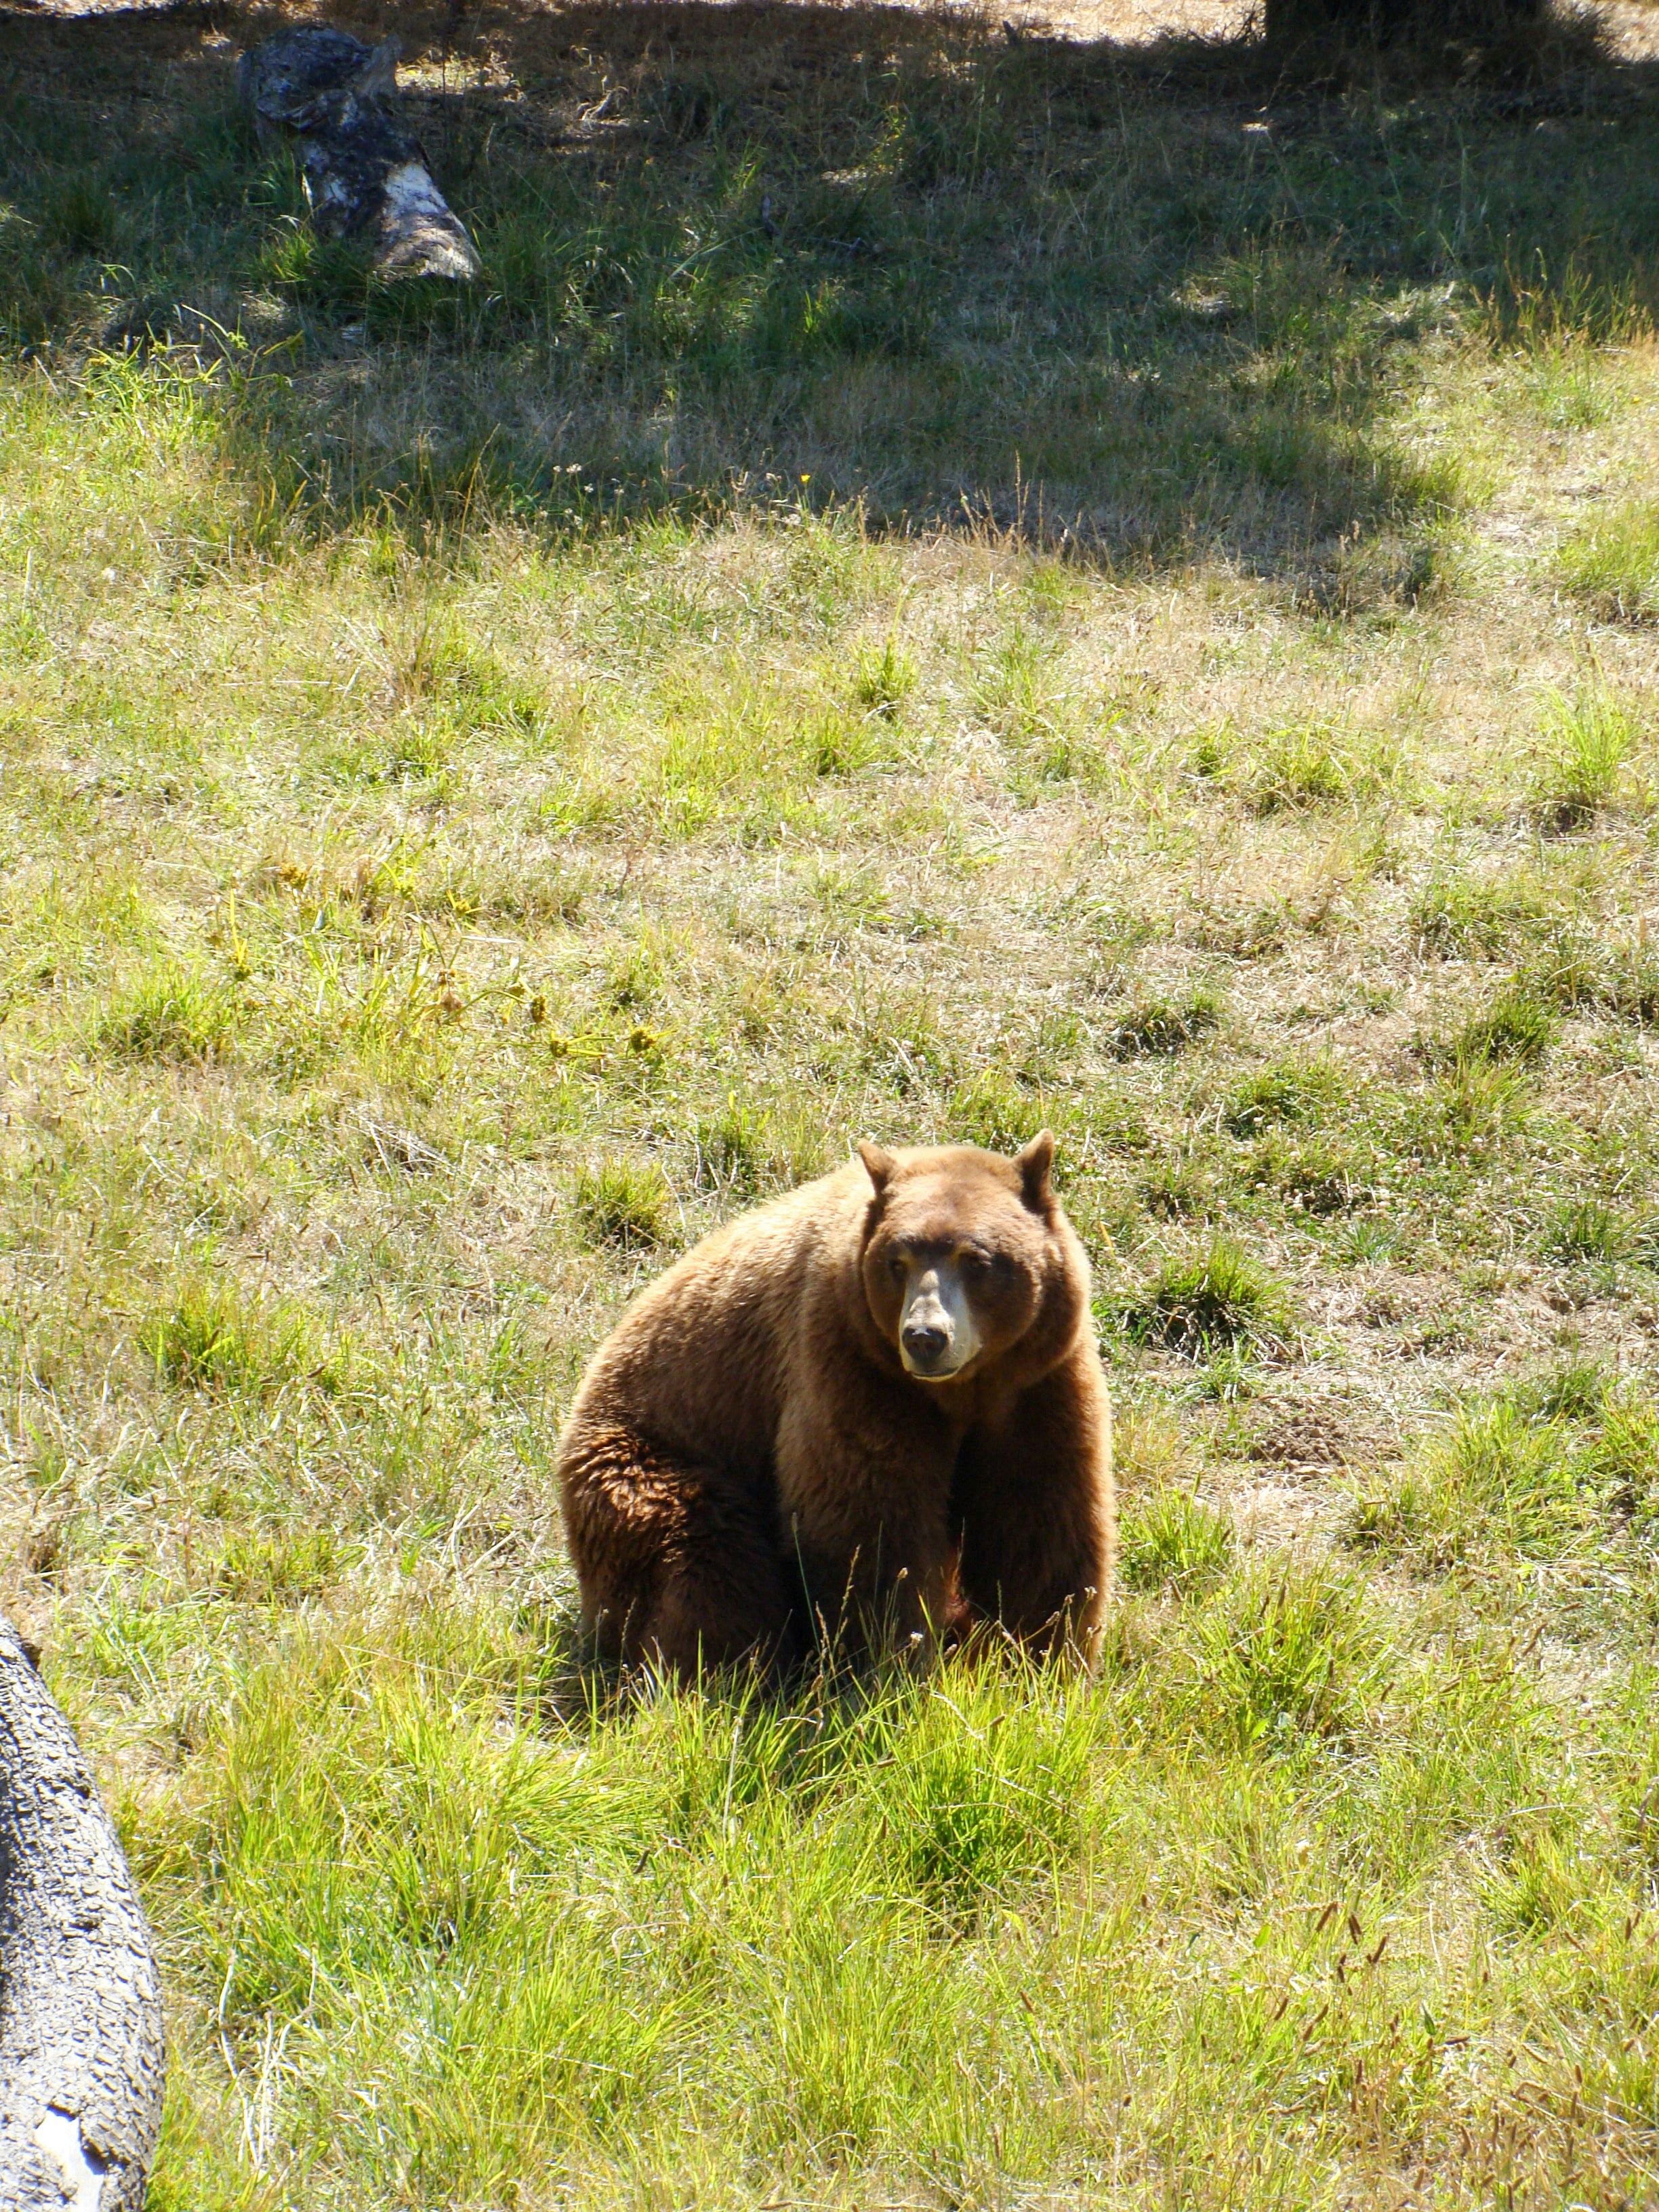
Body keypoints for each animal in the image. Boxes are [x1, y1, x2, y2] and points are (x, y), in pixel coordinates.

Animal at [556, 1131, 1113, 1678]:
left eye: (975, 1260)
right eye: (898, 1262)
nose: (925, 1338)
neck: (962, 1389)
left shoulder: (1037, 1382)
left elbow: (1038, 1516)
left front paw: (1038, 1656)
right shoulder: (853, 1366)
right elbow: (870, 1523)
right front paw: (890, 1657)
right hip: (648, 1462)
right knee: (705, 1556)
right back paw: (729, 1669)